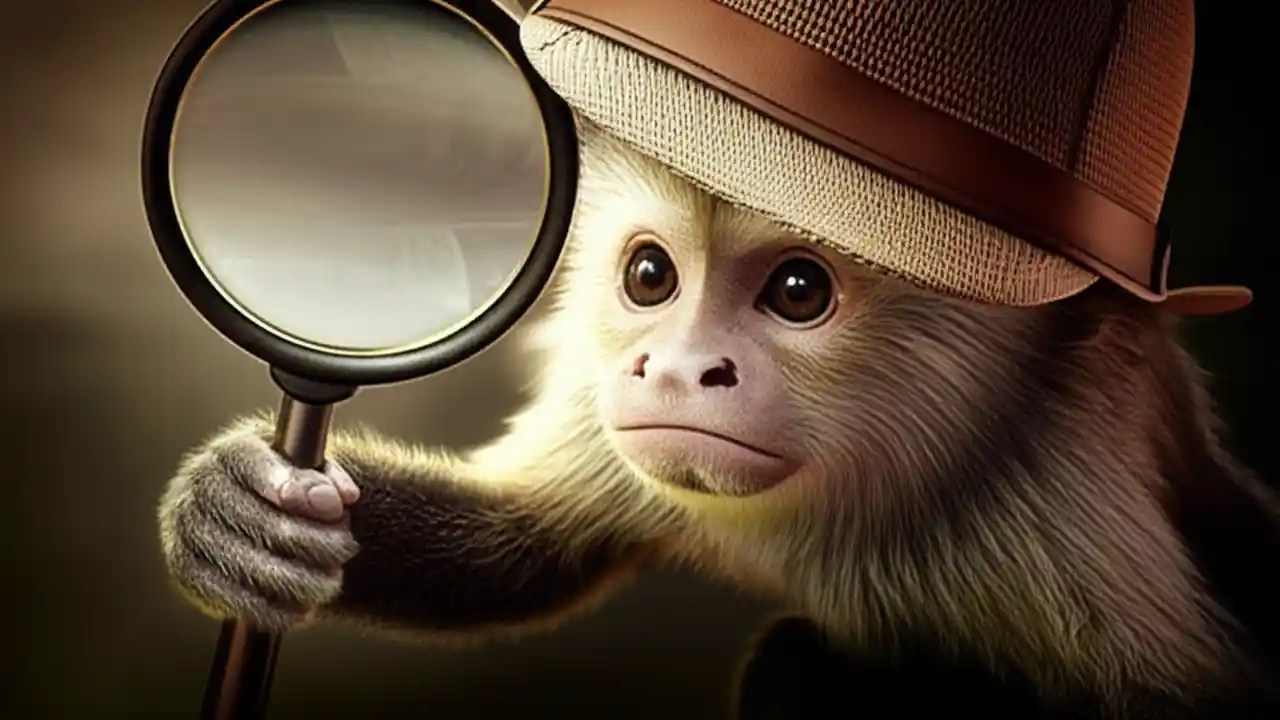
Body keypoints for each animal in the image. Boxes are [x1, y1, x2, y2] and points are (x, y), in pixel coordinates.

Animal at [158, 118, 1280, 718]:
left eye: (798, 290)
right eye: (649, 275)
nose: (678, 368)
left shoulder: (1055, 493)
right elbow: (526, 550)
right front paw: (246, 520)